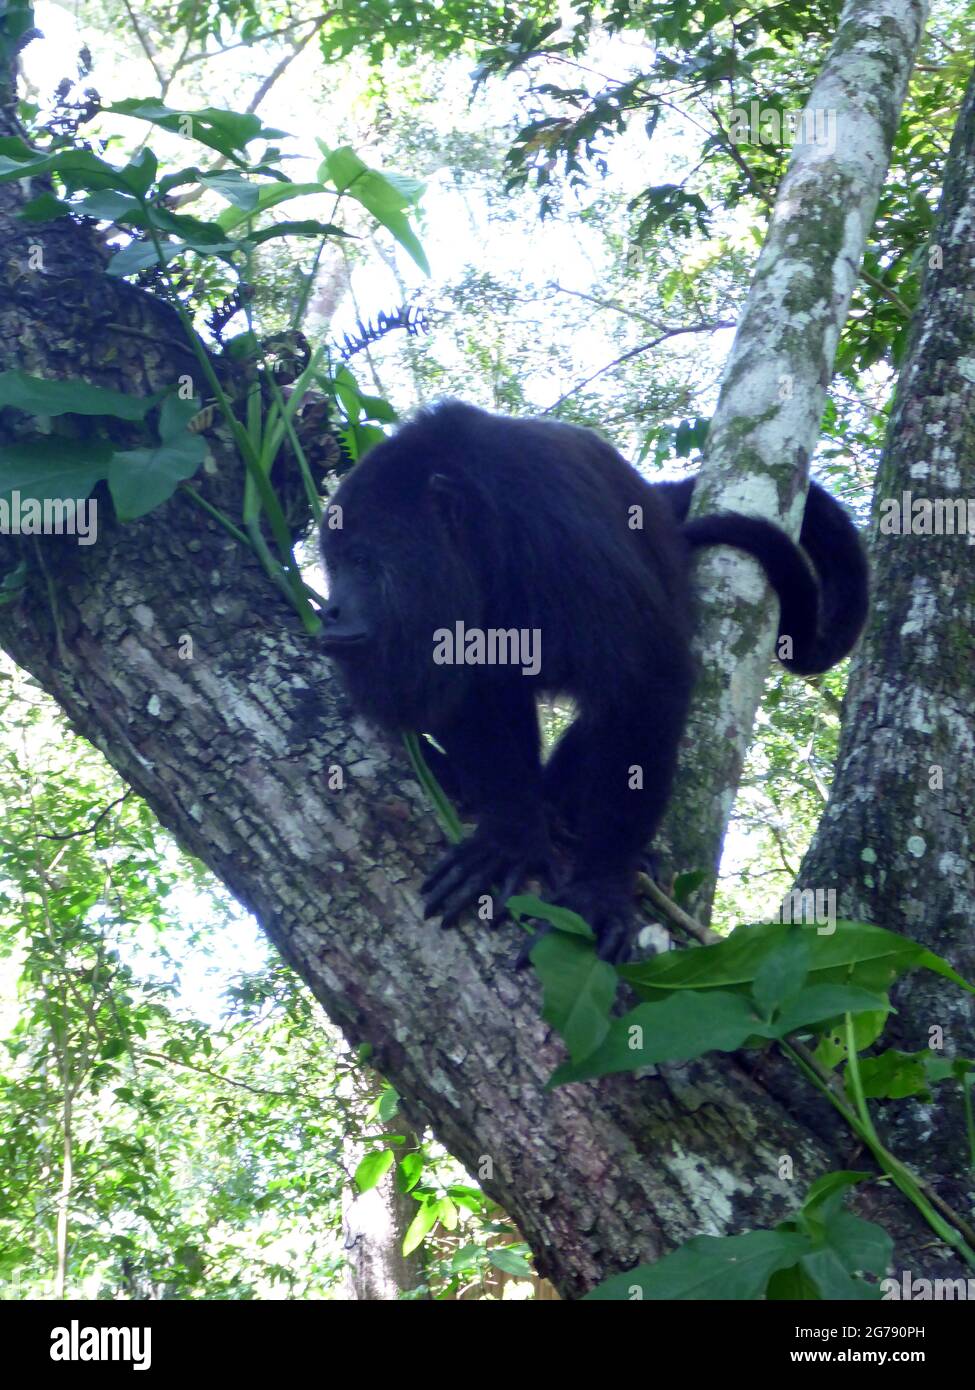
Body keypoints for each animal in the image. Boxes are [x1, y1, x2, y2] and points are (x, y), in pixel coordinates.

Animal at [319, 401, 868, 963]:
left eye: (361, 561)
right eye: (333, 566)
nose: (330, 609)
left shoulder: (561, 531)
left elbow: (643, 686)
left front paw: (598, 890)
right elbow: (469, 696)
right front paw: (512, 833)